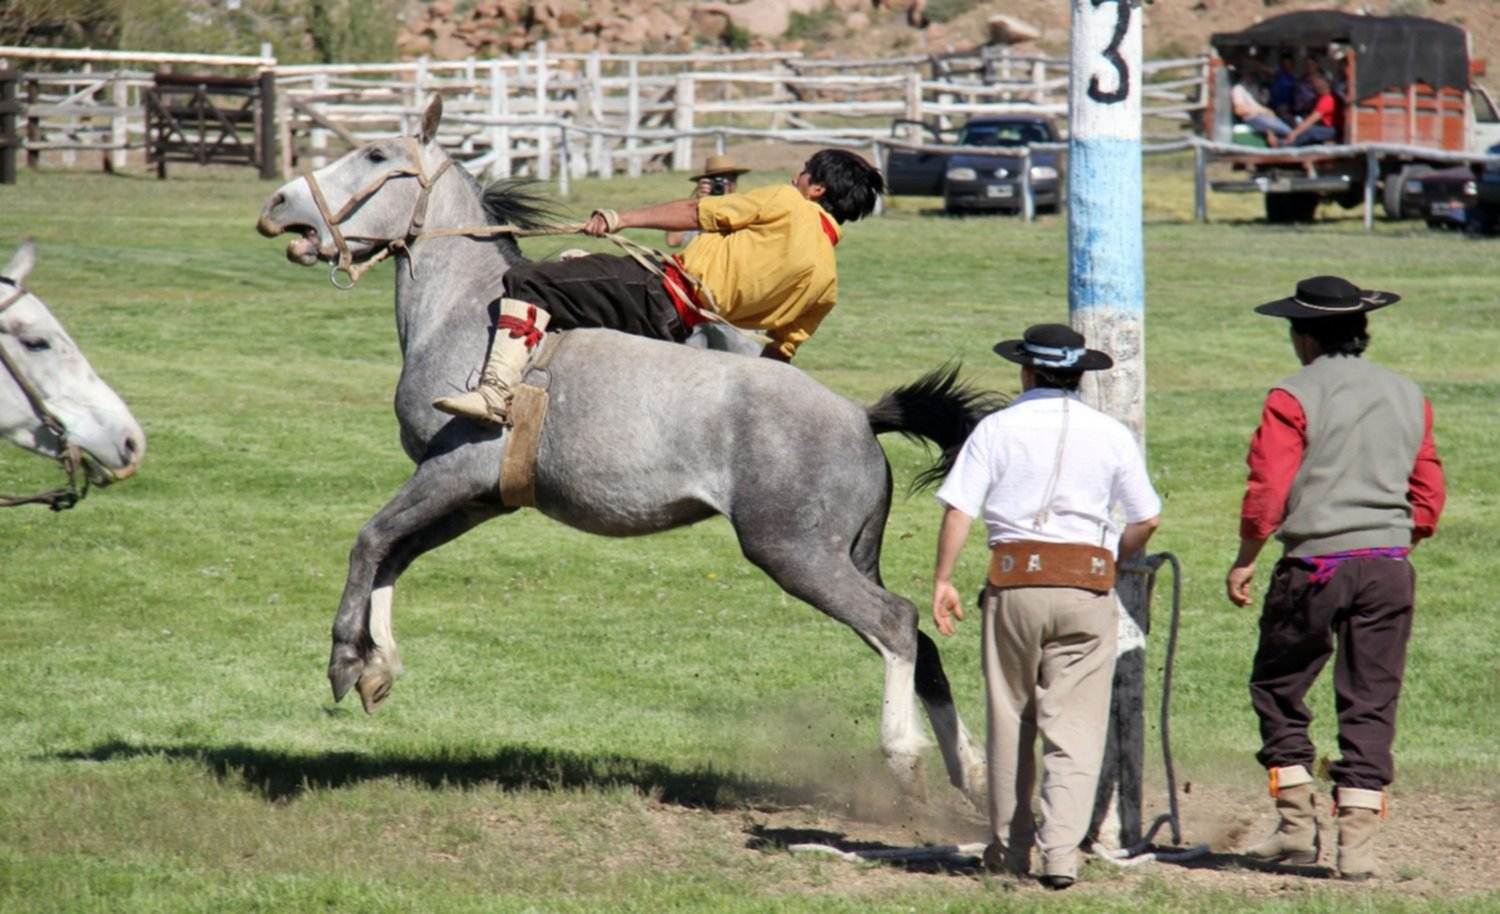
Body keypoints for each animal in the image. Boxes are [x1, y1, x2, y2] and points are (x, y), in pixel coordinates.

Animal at [256, 97, 994, 800]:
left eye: (376, 154)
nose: (277, 205)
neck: (464, 313)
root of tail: (859, 417)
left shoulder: (451, 471)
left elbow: (371, 540)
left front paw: (345, 661)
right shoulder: (477, 499)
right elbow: (394, 556)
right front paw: (377, 667)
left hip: (796, 553)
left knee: (896, 623)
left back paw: (905, 756)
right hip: (851, 554)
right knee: (920, 644)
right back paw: (972, 770)